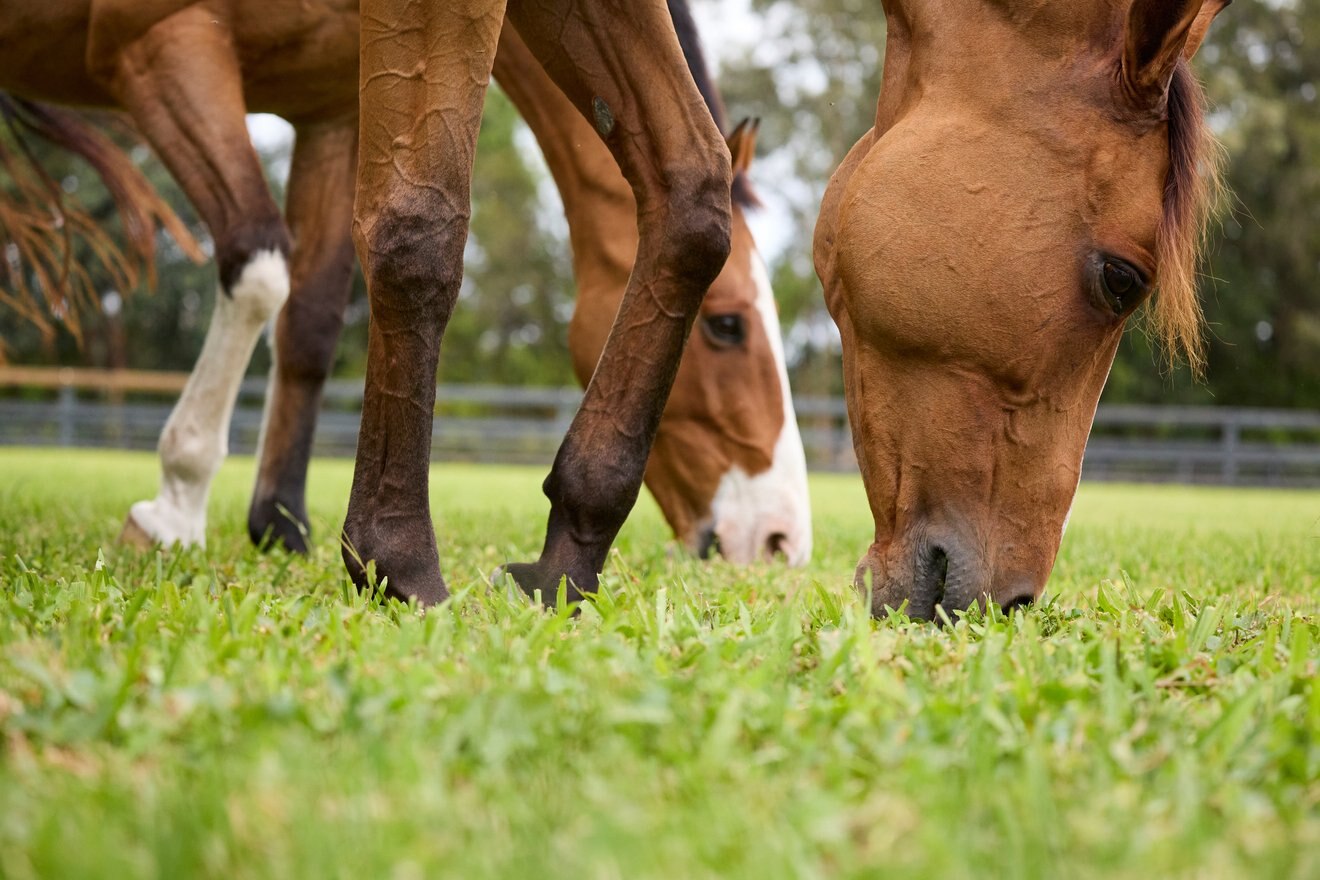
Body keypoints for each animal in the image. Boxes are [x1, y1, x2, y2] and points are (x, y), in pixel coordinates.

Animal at [0, 0, 811, 569]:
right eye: (727, 325)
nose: (781, 540)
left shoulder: (330, 111)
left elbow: (311, 323)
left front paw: (280, 525)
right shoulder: (163, 46)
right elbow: (259, 269)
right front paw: (176, 504)